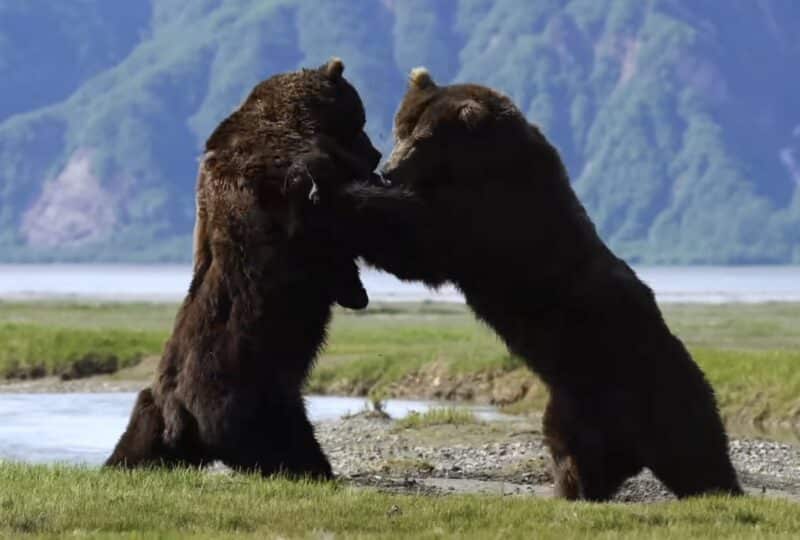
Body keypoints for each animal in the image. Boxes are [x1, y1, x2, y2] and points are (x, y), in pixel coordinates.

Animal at [105, 58, 382, 479]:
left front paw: (358, 291)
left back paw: (117, 464)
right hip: (248, 396)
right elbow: (319, 224)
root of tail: (179, 414)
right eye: (360, 118)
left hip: (165, 408)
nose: (378, 154)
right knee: (280, 445)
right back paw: (311, 472)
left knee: (139, 440)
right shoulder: (274, 187)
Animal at [302, 67, 743, 500]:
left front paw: (326, 178)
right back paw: (574, 492)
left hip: (658, 390)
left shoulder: (494, 212)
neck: (480, 162)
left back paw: (722, 489)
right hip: (573, 407)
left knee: (696, 452)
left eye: (421, 137)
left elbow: (415, 238)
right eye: (401, 128)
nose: (390, 171)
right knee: (577, 454)